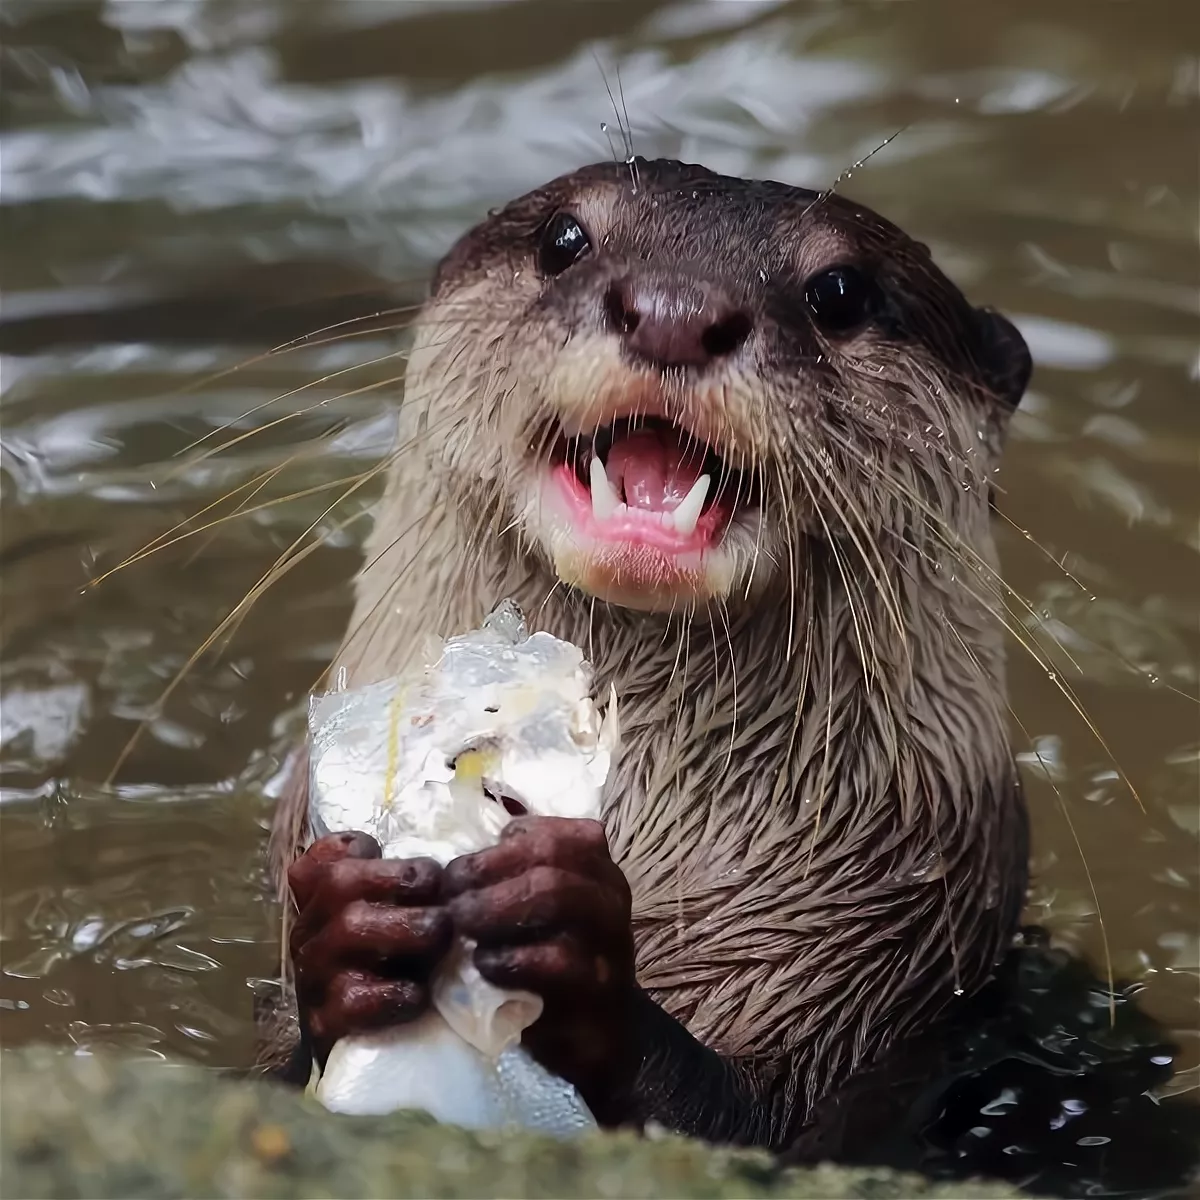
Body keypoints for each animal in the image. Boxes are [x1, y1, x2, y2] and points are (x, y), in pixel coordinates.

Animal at [258, 154, 1036, 1147]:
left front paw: (567, 937)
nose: (674, 309)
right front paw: (346, 928)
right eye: (564, 239)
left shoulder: (891, 952)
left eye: (841, 291)